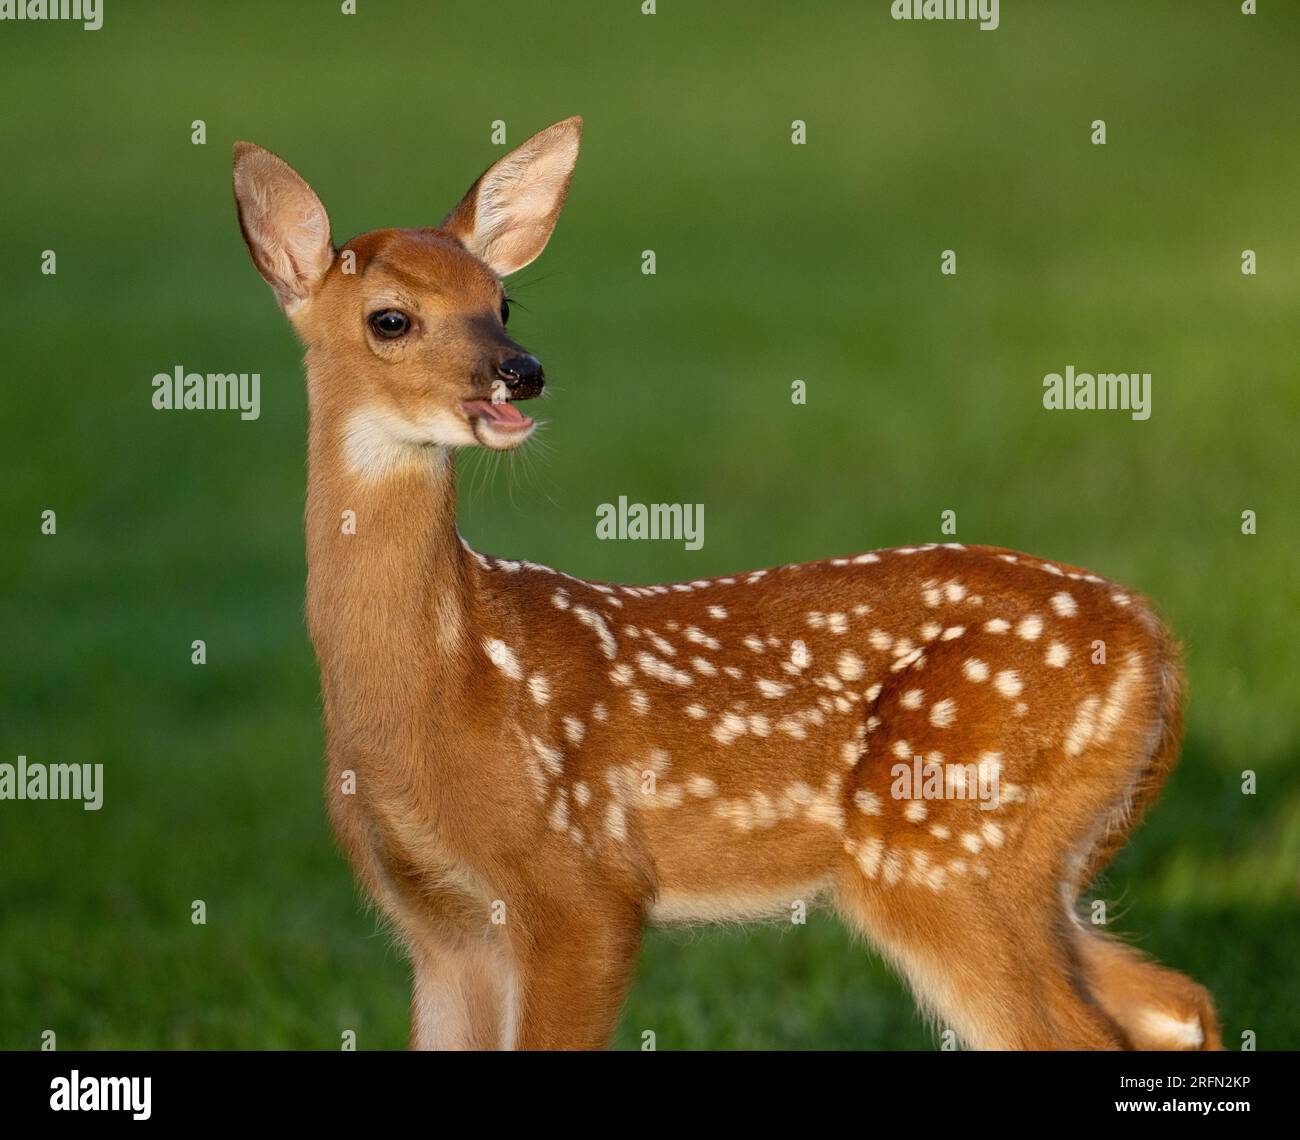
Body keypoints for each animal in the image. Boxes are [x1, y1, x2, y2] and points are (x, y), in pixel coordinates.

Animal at [232, 117, 1220, 1051]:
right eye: (390, 319)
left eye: (501, 300)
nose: (523, 371)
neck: (441, 683)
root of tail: (1156, 642)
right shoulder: (438, 923)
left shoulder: (580, 881)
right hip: (1032, 870)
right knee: (1176, 1003)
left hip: (947, 846)